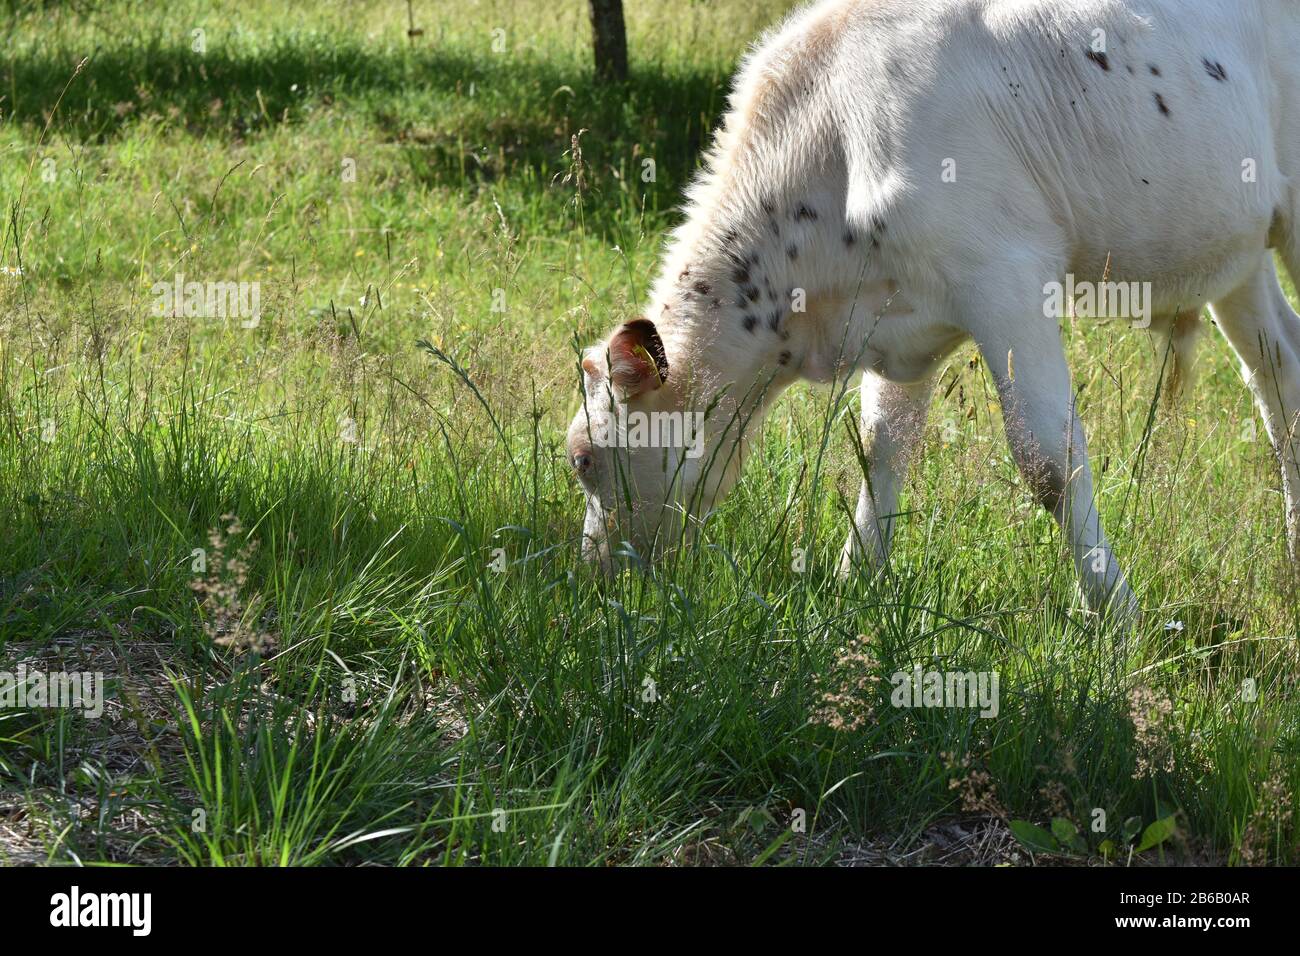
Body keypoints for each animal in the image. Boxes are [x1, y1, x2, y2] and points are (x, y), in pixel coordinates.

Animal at [566, 0, 1300, 620]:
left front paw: (1113, 610)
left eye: (583, 459)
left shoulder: (1005, 280)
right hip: (1236, 246)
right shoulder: (898, 325)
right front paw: (855, 581)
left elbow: (1049, 460)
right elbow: (880, 446)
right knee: (1279, 374)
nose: (596, 577)